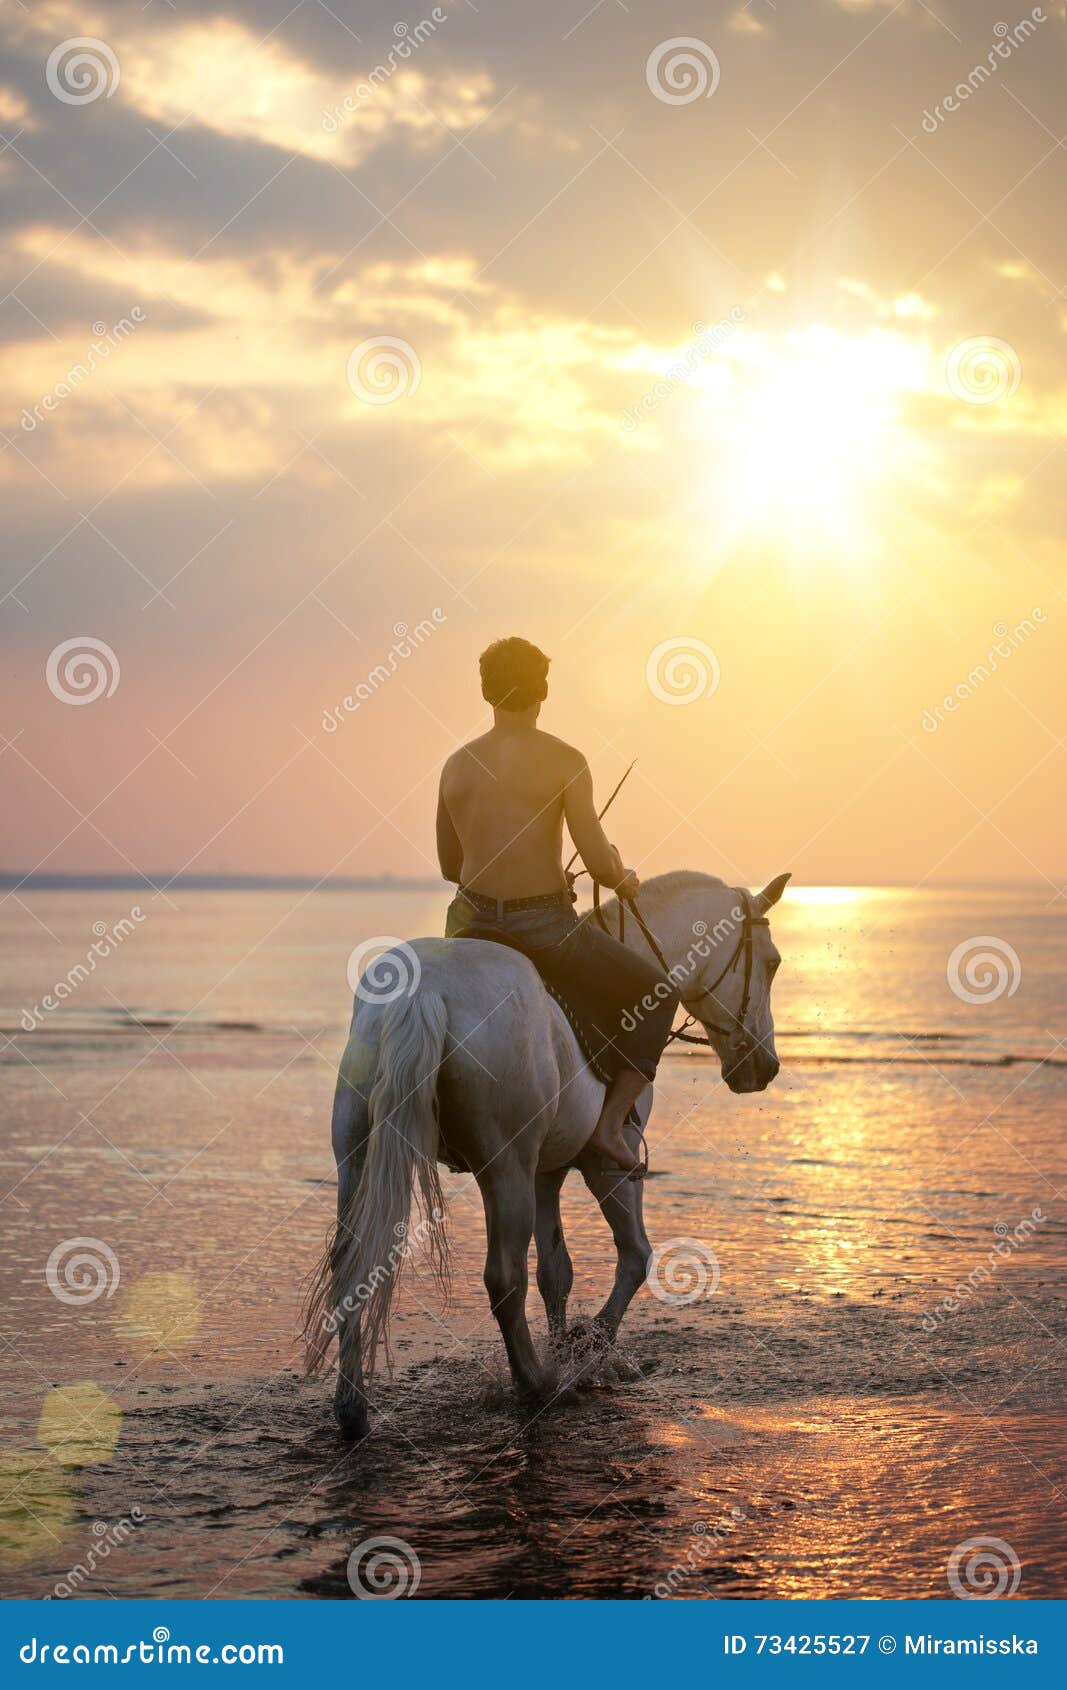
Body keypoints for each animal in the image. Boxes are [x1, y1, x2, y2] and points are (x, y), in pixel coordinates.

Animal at [304, 869, 789, 1437]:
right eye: (773, 962)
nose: (765, 1066)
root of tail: (422, 993)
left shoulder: (547, 1171)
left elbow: (556, 1270)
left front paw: (565, 1345)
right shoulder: (610, 1162)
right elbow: (635, 1255)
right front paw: (589, 1347)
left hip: (357, 1157)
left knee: (351, 1263)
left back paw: (352, 1407)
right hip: (505, 1168)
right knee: (503, 1277)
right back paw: (536, 1384)